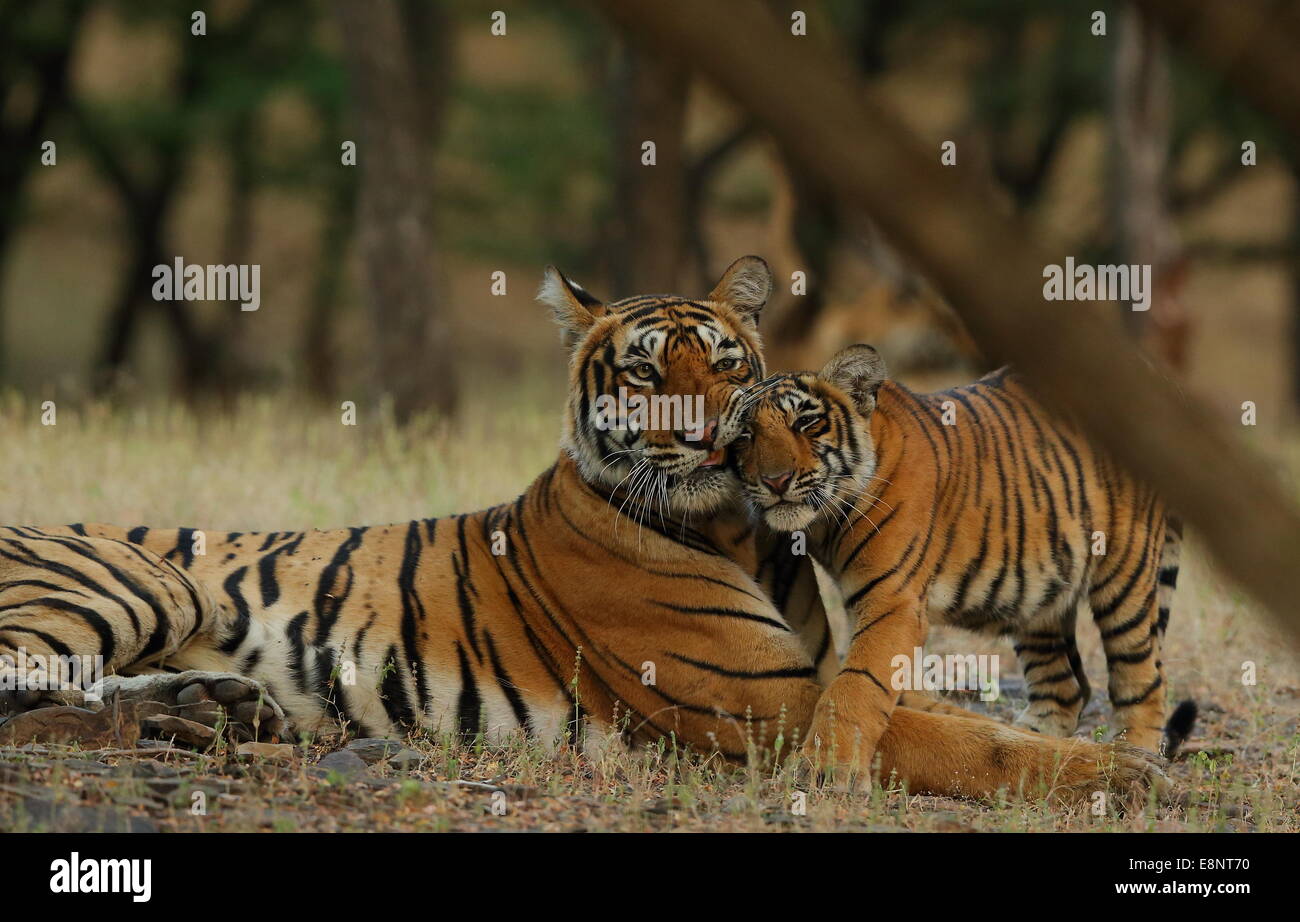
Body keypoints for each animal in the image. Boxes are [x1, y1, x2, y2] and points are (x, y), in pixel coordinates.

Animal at [724, 343, 1195, 779]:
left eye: (807, 422)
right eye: (744, 437)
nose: (775, 481)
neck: (826, 521)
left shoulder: (892, 601)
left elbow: (857, 682)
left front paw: (824, 768)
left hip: (1125, 576)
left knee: (1145, 682)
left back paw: (1138, 754)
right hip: (1040, 589)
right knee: (1065, 686)